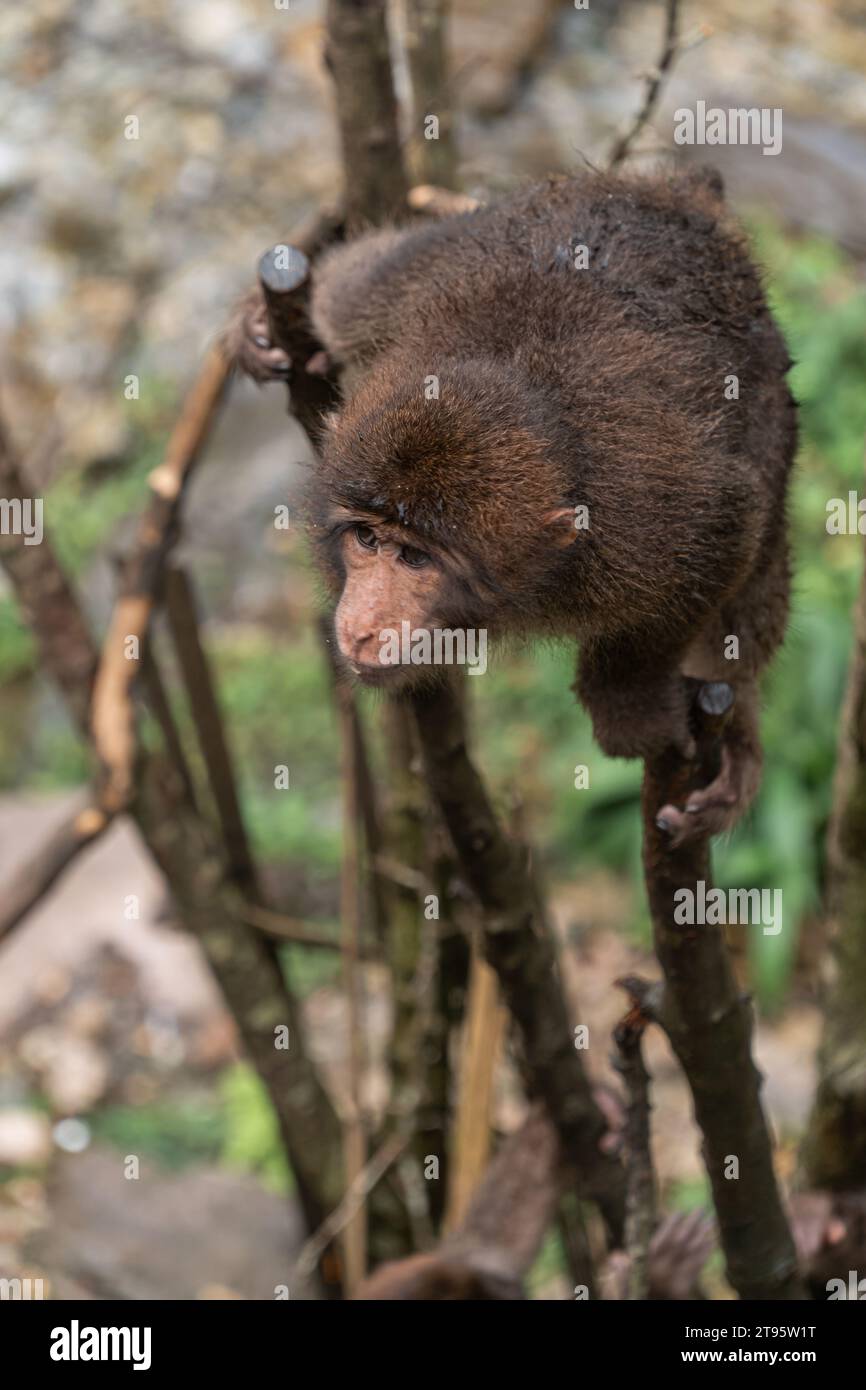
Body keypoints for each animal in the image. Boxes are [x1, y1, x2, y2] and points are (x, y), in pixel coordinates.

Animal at [237, 168, 796, 844]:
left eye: (416, 559)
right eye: (367, 540)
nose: (362, 627)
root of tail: (672, 193)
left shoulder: (638, 522)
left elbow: (729, 520)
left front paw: (628, 703)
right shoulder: (385, 302)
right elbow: (343, 288)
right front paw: (255, 329)